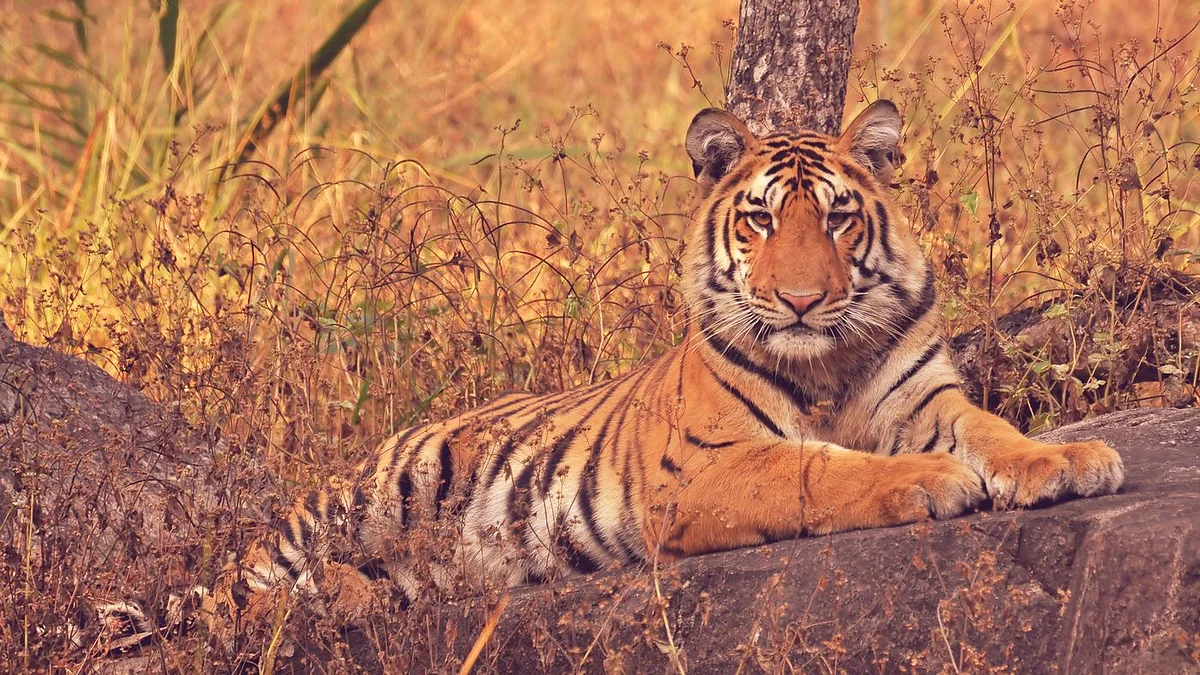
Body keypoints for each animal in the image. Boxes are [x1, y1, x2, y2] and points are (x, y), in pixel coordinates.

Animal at [99, 100, 1125, 647]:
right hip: (374, 488)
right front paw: (932, 480)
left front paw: (1068, 461)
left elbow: (993, 428)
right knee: (243, 592)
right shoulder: (707, 467)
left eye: (837, 218)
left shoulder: (926, 395)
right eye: (758, 219)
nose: (799, 300)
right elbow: (818, 468)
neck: (828, 359)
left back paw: (369, 594)